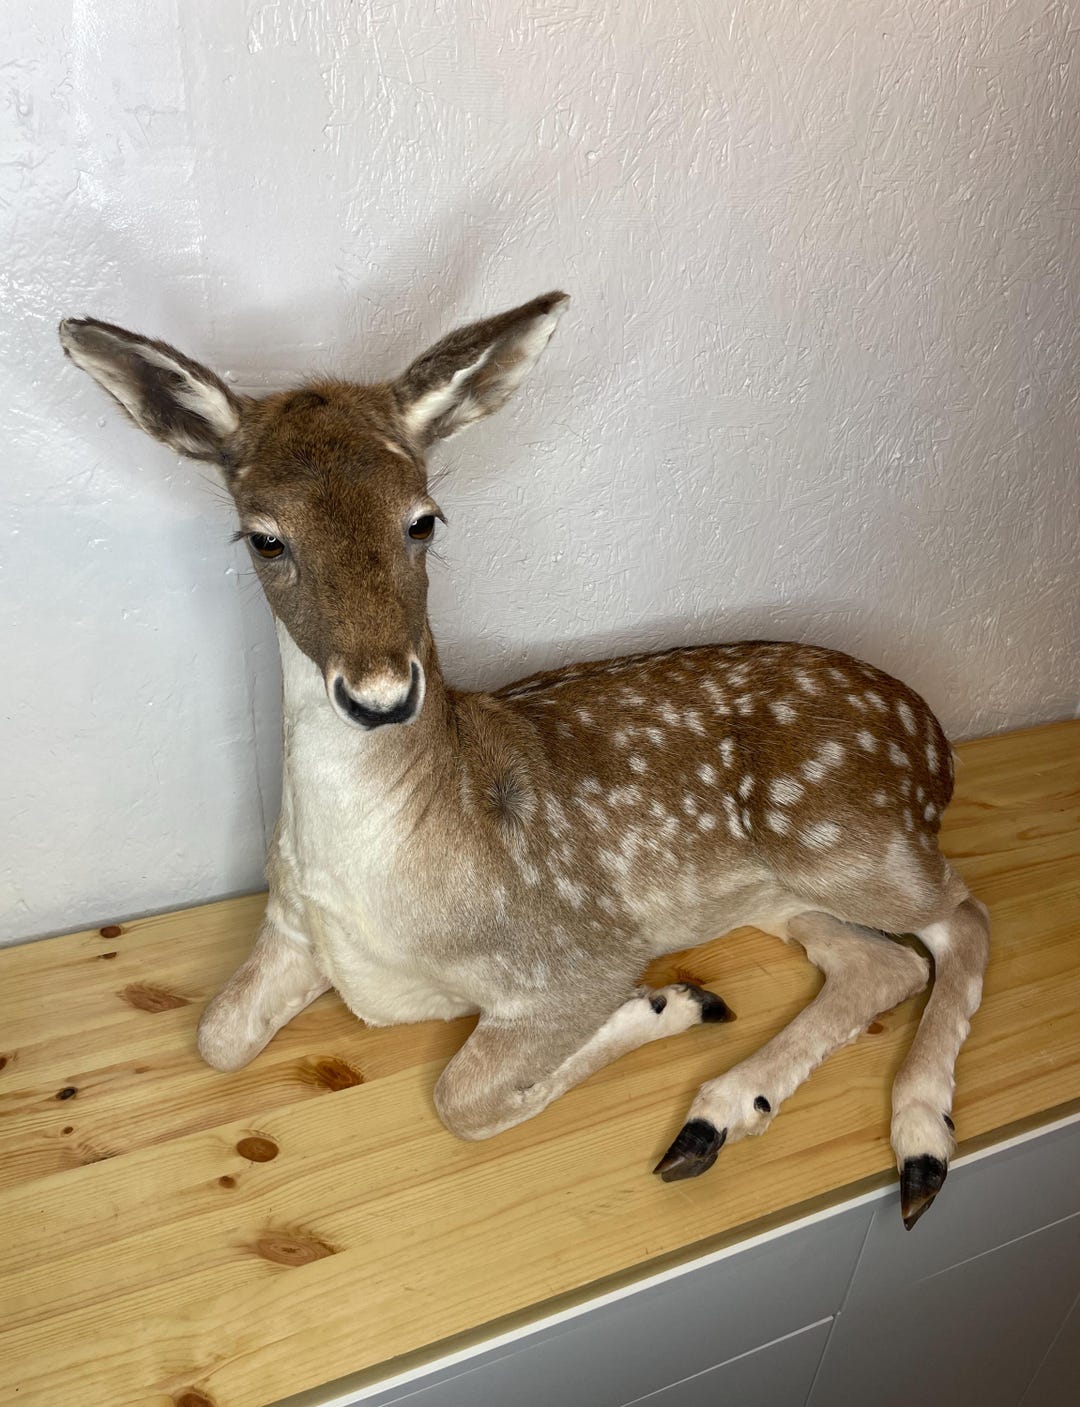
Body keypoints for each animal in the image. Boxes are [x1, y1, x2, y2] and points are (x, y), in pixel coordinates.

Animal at [59, 292, 990, 1228]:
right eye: (263, 538)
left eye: (424, 517)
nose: (380, 694)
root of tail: (934, 740)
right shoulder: (287, 921)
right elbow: (215, 1035)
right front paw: (683, 1006)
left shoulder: (576, 948)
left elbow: (461, 1097)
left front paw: (667, 1002)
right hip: (779, 887)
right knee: (885, 959)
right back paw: (718, 1114)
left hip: (844, 837)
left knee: (961, 918)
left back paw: (918, 1138)